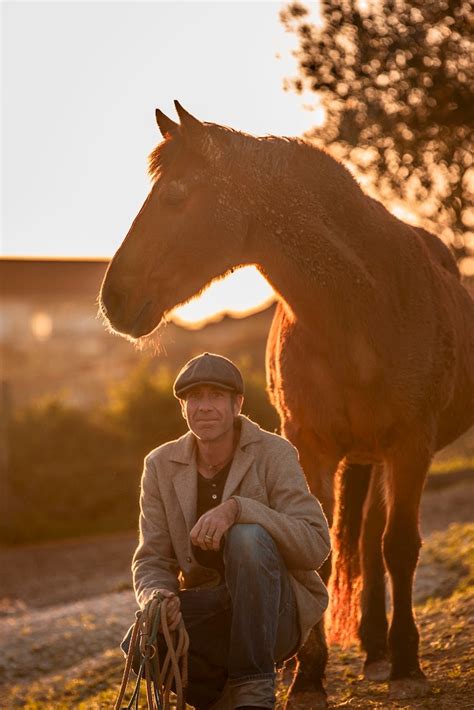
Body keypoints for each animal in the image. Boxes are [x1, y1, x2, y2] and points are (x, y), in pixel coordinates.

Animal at [99, 102, 474, 707]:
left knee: (376, 540)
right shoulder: (311, 447)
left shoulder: (412, 445)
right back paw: (372, 647)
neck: (365, 309)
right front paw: (309, 675)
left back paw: (386, 651)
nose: (113, 298)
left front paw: (408, 664)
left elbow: (400, 547)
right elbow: (317, 552)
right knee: (360, 537)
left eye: (176, 195)